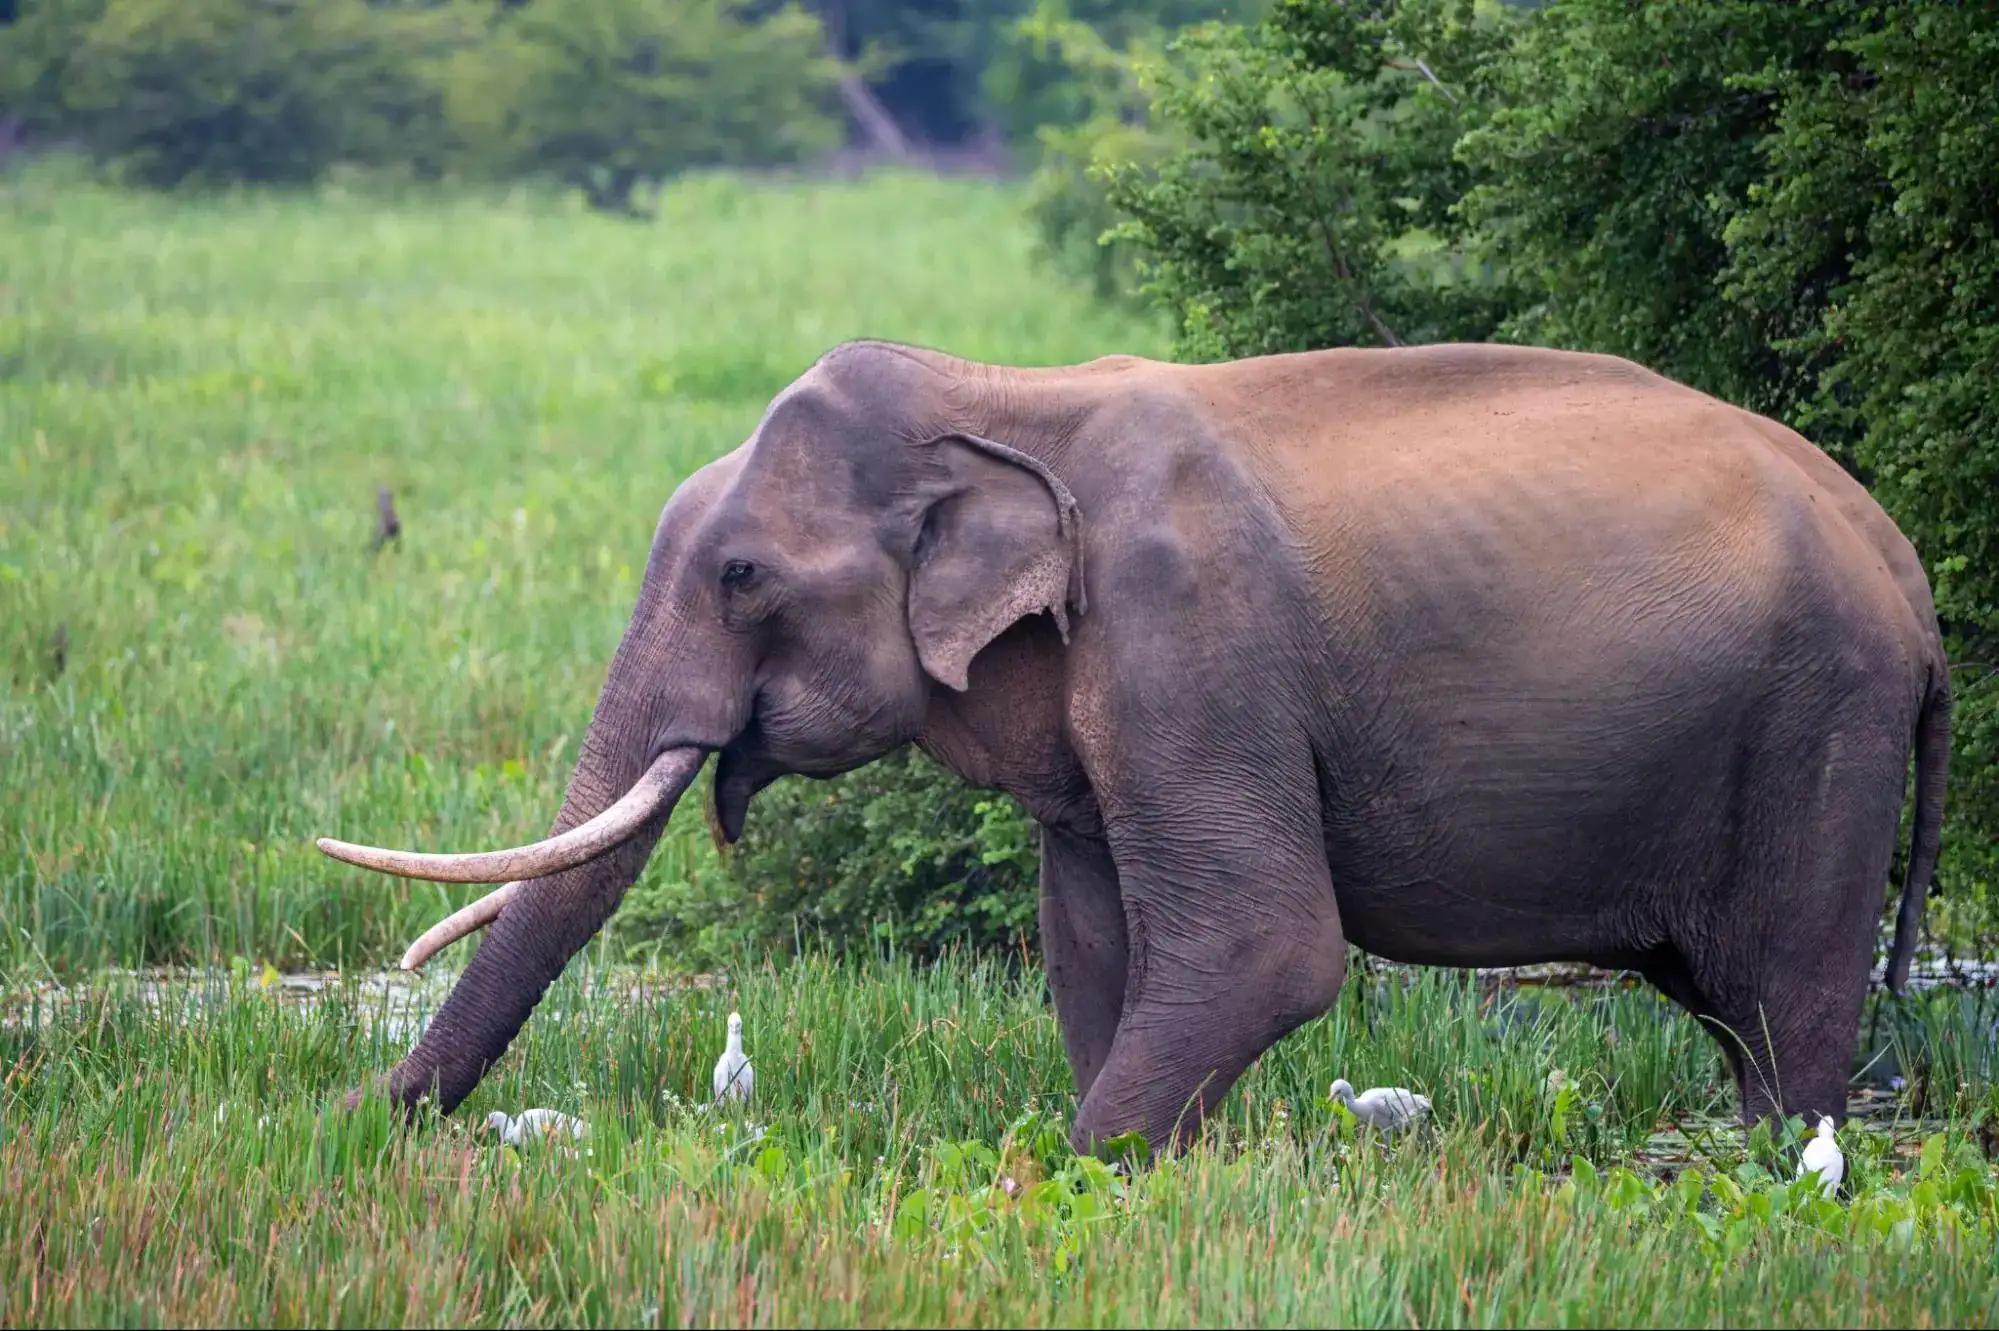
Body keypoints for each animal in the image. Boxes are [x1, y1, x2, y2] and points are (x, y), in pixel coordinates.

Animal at [318, 338, 1951, 1155]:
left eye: (740, 576)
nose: (328, 1119)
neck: (1004, 393)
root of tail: (1910, 572)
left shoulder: (1191, 639)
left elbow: (1261, 947)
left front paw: (1061, 1168)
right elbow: (1091, 940)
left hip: (1824, 722)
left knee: (1788, 994)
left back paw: (1777, 1173)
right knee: (1740, 1009)